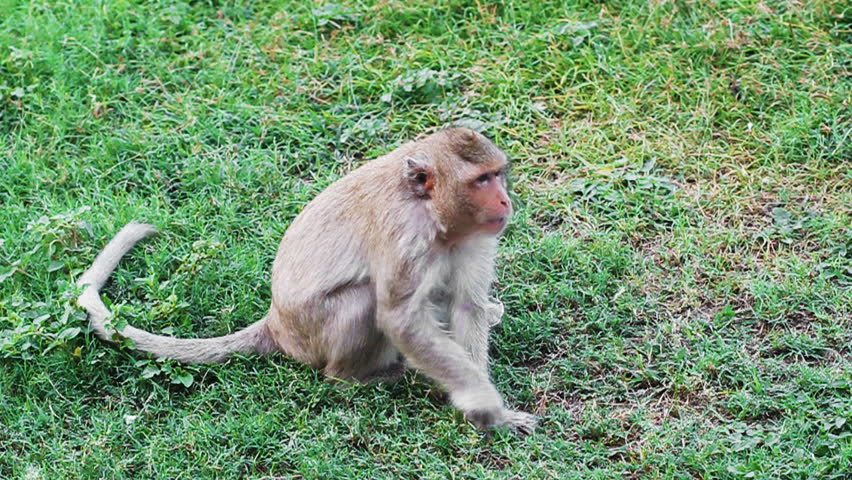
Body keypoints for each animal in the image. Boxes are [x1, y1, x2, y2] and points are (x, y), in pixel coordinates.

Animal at [77, 128, 538, 434]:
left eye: (498, 174)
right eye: (481, 180)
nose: (504, 201)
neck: (434, 216)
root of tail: (275, 322)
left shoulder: (474, 238)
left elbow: (467, 304)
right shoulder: (405, 235)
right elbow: (401, 319)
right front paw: (485, 406)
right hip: (314, 336)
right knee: (365, 303)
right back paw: (358, 377)